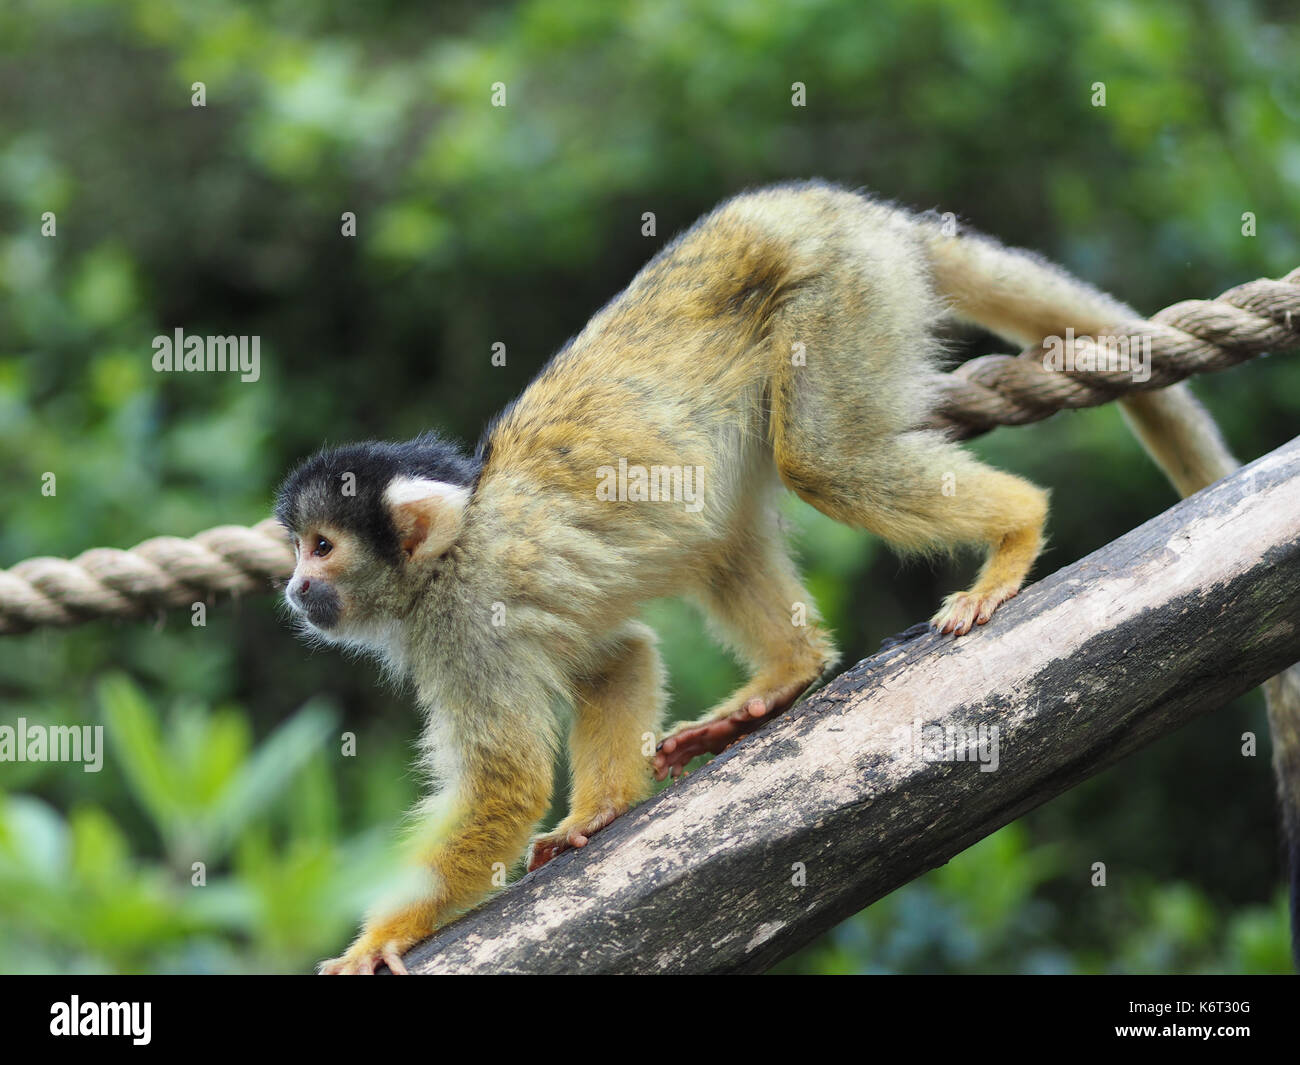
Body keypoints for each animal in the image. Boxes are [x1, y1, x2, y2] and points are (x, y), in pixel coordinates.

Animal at [276, 179, 1299, 973]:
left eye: (320, 547)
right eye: (293, 547)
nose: (291, 589)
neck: (444, 557)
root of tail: (855, 209)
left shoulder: (463, 624)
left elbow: (504, 780)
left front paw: (380, 938)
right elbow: (619, 656)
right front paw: (595, 817)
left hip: (843, 292)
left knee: (821, 458)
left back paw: (1015, 530)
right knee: (729, 521)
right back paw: (787, 673)